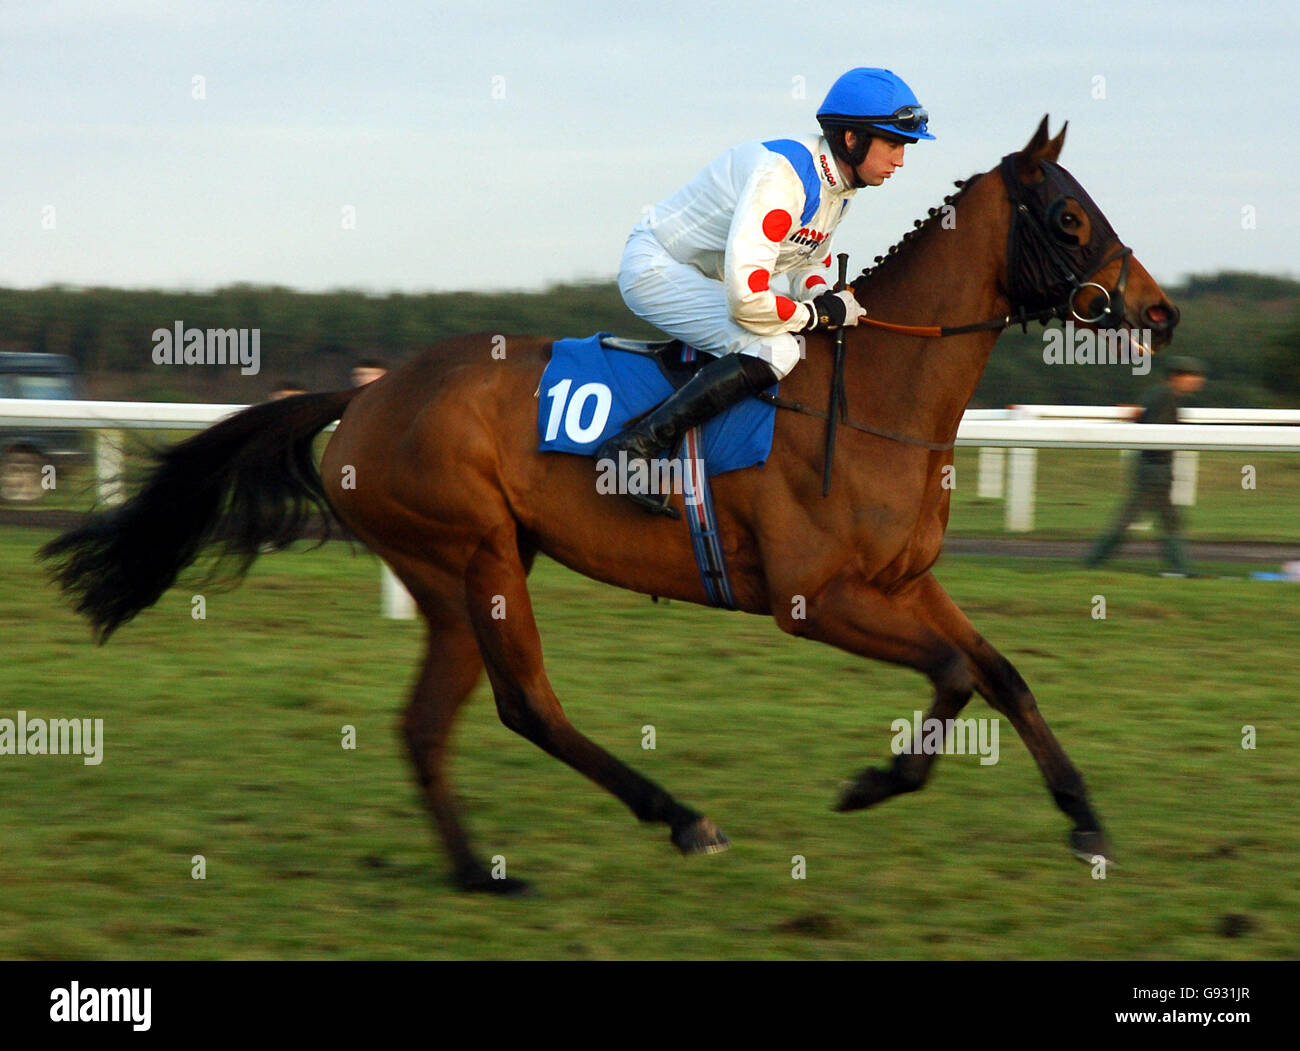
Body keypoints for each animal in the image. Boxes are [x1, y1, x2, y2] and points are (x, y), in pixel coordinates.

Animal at [42, 117, 1179, 894]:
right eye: (1069, 215)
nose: (1159, 309)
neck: (874, 402)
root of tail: (367, 394)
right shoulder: (817, 598)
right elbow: (950, 674)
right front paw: (871, 781)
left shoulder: (902, 581)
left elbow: (1000, 672)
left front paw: (1085, 822)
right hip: (475, 553)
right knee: (525, 705)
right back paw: (675, 816)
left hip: (455, 575)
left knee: (428, 722)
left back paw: (477, 871)